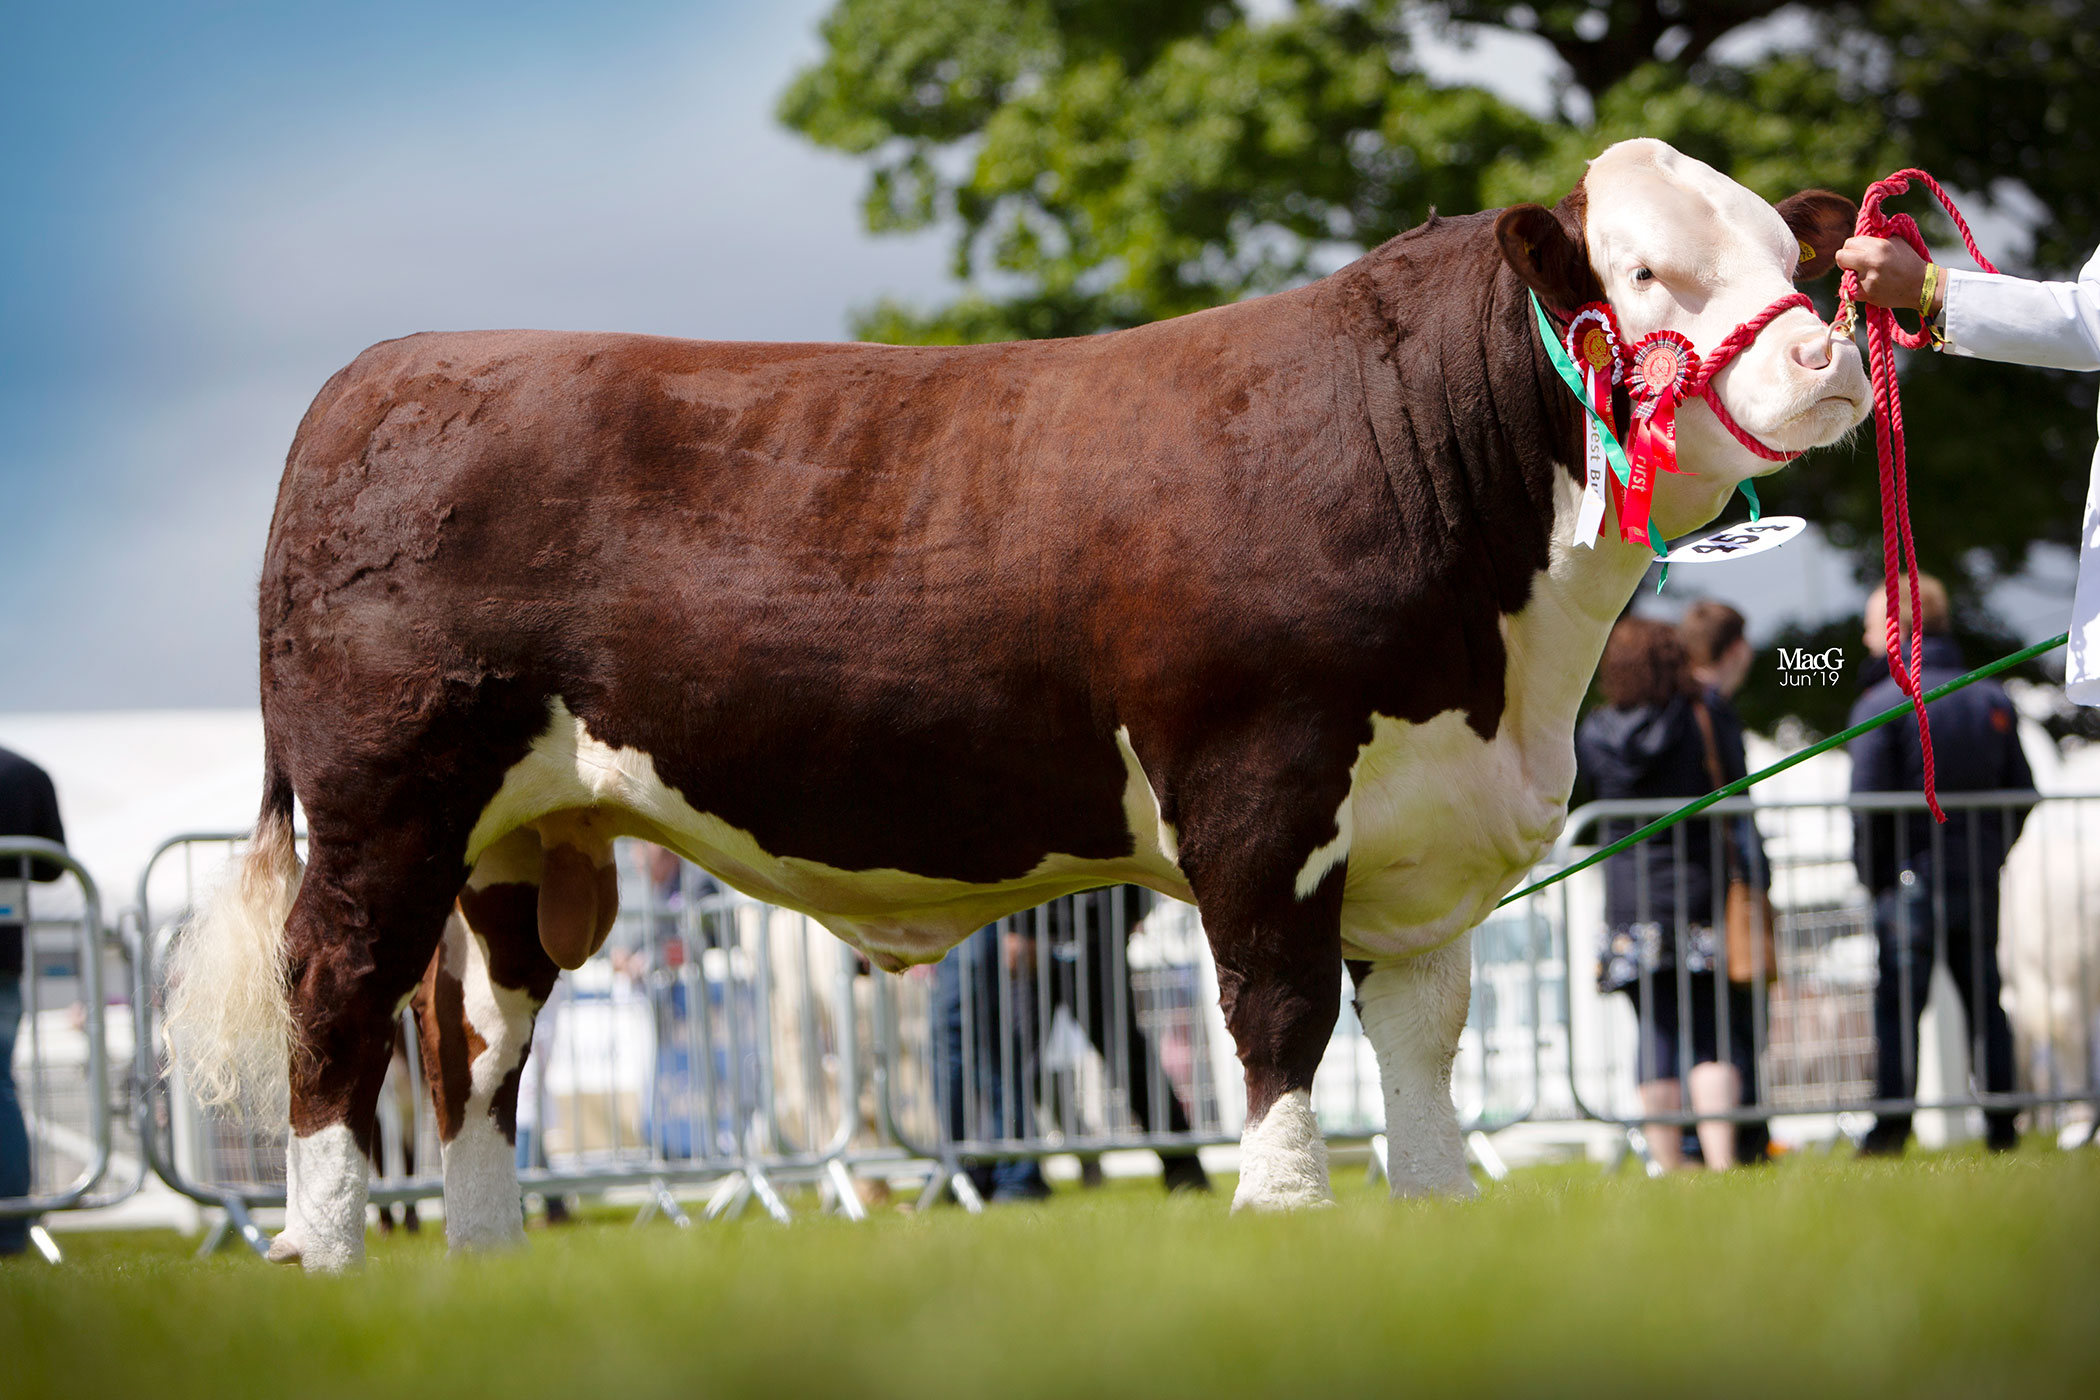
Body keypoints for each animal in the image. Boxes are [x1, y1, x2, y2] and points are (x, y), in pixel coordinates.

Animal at [168, 138, 1869, 1270]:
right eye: (1645, 274)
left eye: (1792, 266)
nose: (1830, 350)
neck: (1509, 662)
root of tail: (380, 375)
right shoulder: (1259, 793)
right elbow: (1279, 1011)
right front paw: (1285, 1214)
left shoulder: (1425, 826)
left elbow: (1424, 1032)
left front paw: (1437, 1213)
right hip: (384, 799)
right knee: (338, 992)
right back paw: (329, 1255)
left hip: (522, 840)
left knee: (472, 1035)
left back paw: (481, 1264)